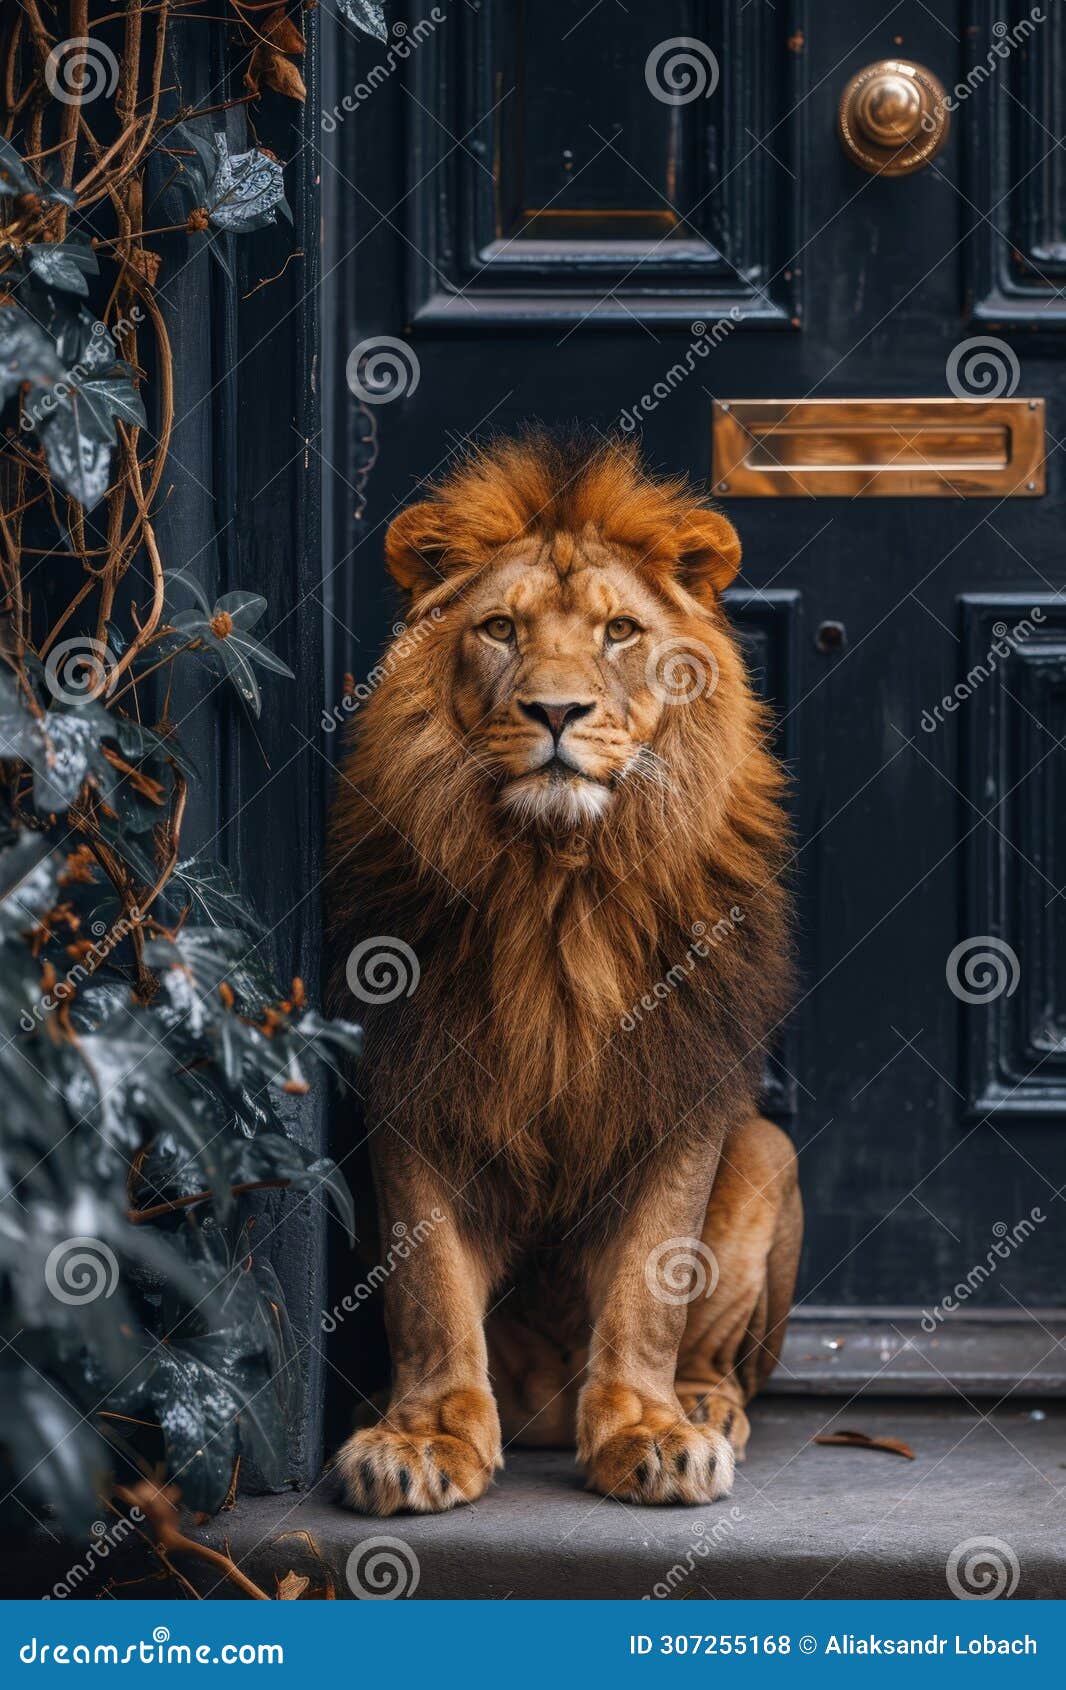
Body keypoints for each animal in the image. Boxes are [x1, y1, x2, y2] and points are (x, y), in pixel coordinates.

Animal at [327, 431, 801, 1514]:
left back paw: (703, 1407)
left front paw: (647, 1431)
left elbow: (649, 1284)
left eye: (620, 631)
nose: (555, 709)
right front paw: (422, 1436)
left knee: (716, 1353)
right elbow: (428, 1289)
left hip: (768, 1151)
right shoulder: (415, 1081)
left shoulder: (682, 1090)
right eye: (500, 628)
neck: (557, 882)